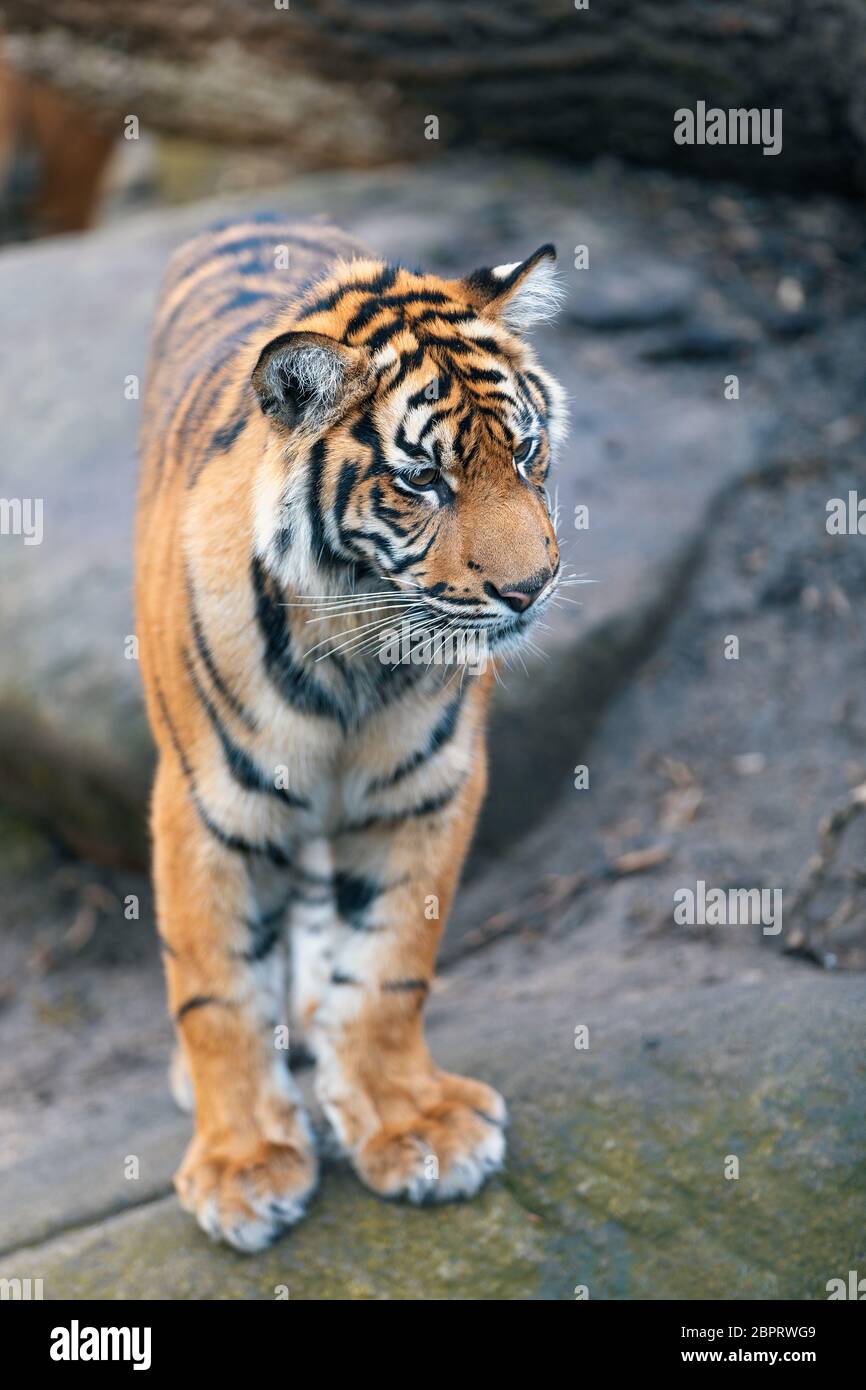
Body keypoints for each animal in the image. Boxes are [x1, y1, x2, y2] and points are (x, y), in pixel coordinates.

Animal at [134, 214, 567, 1251]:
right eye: (423, 480)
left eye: (528, 451)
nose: (531, 588)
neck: (358, 649)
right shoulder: (206, 804)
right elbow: (215, 989)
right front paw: (243, 1167)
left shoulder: (428, 784)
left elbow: (388, 968)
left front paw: (413, 1124)